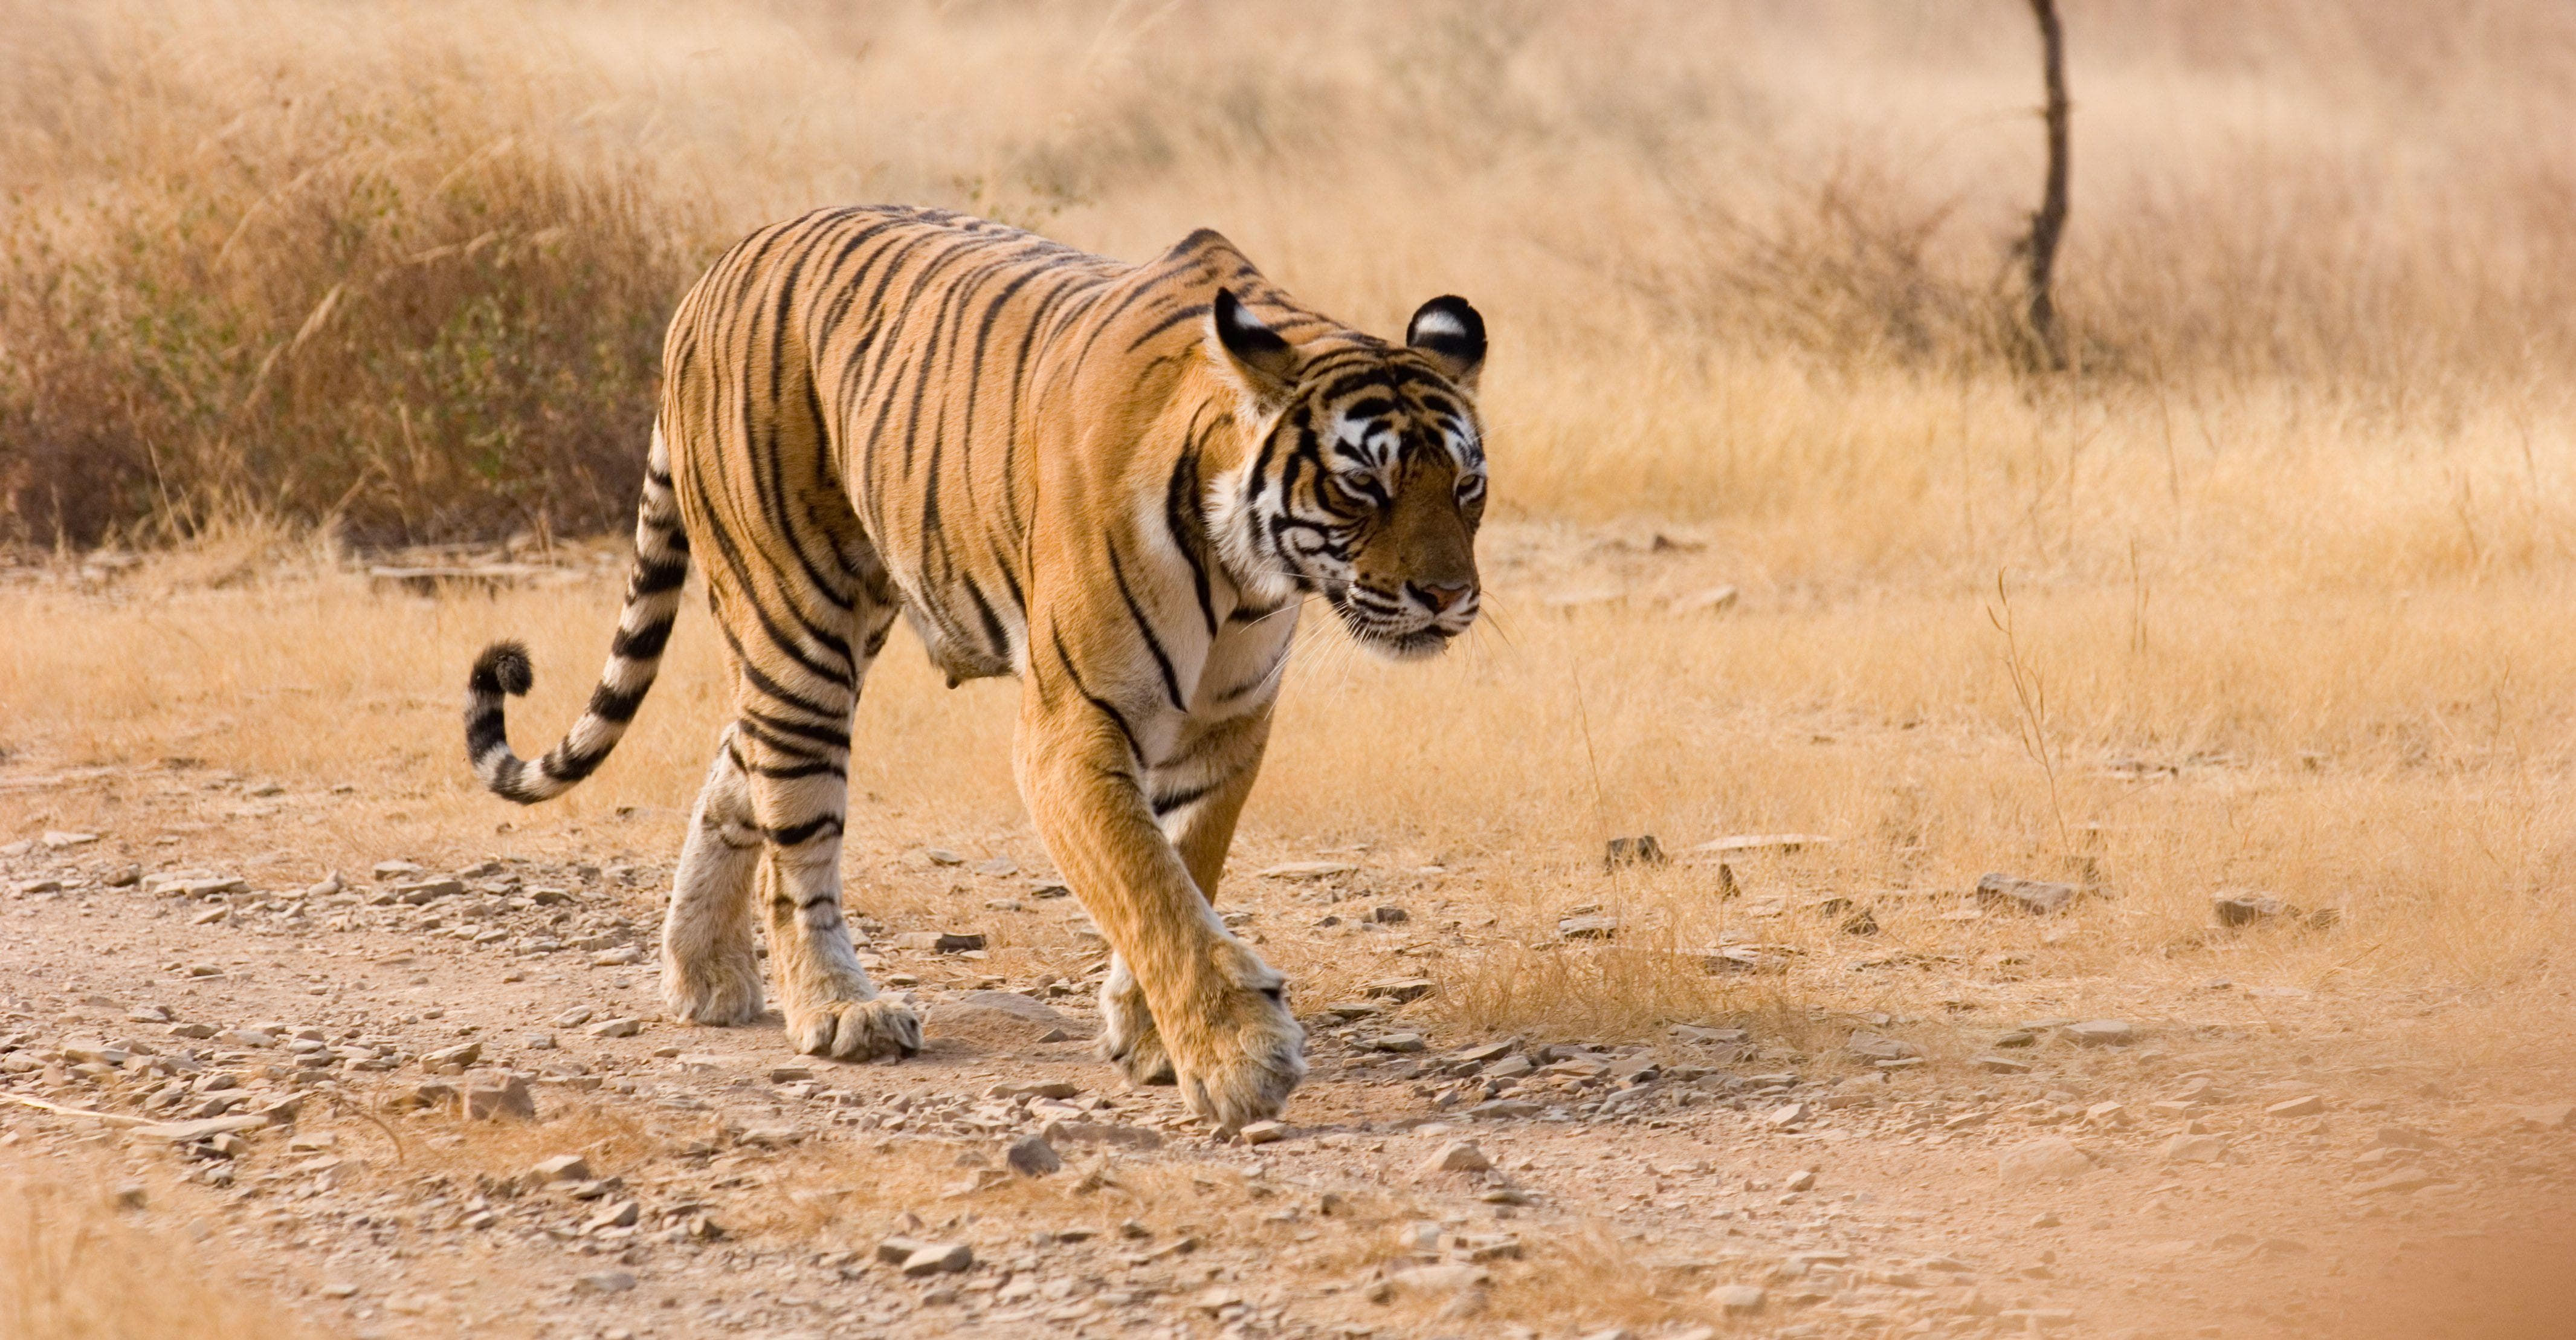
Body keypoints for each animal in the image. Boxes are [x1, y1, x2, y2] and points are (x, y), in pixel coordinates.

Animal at [463, 205, 1487, 1129]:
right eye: (1364, 486)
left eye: (1466, 487)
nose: (1447, 595)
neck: (1247, 573)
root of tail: (717, 270)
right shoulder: (1070, 728)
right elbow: (1149, 888)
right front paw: (1237, 1058)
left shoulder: (1225, 725)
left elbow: (1185, 865)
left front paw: (1148, 1035)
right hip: (798, 623)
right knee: (794, 841)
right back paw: (839, 1009)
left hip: (818, 631)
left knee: (734, 770)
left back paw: (702, 975)